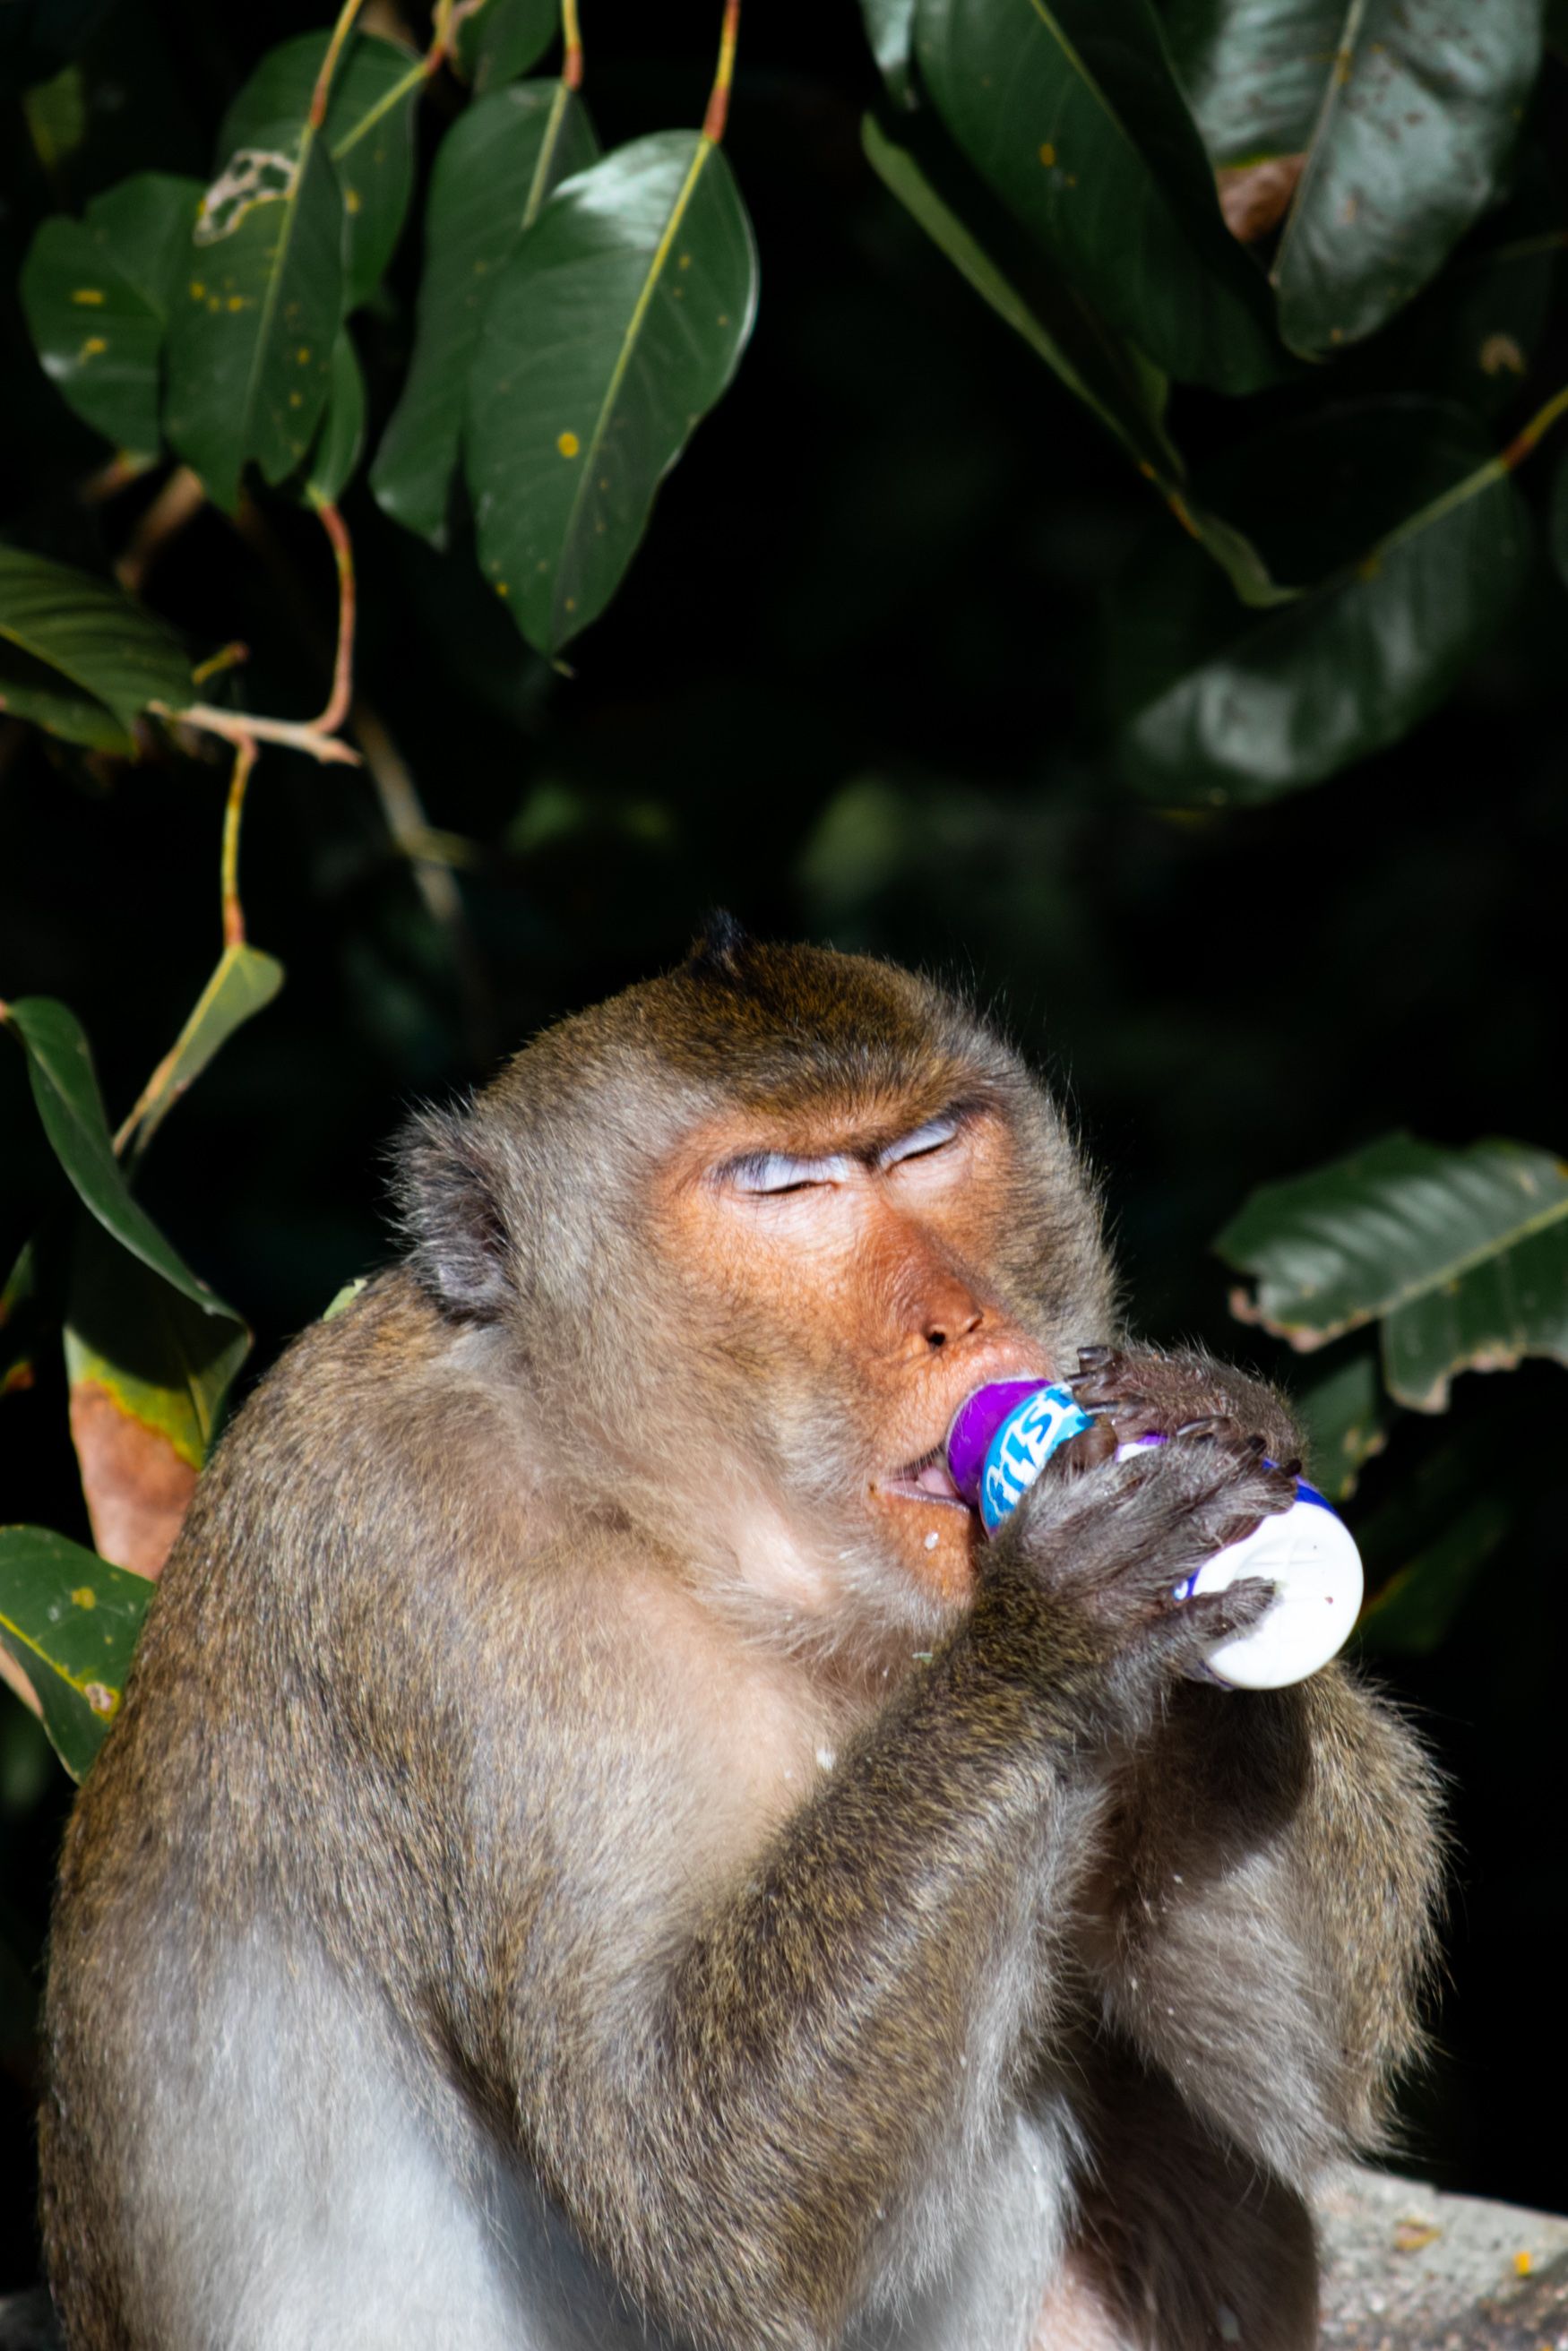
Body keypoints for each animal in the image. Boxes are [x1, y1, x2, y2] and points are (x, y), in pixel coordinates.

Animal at [37, 921, 1442, 2351]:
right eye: (785, 1187)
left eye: (926, 1148)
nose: (960, 1320)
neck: (661, 1518)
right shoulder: (445, 1581)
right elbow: (686, 2175)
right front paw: (1053, 1626)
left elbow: (1289, 2079)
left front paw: (1212, 1424)